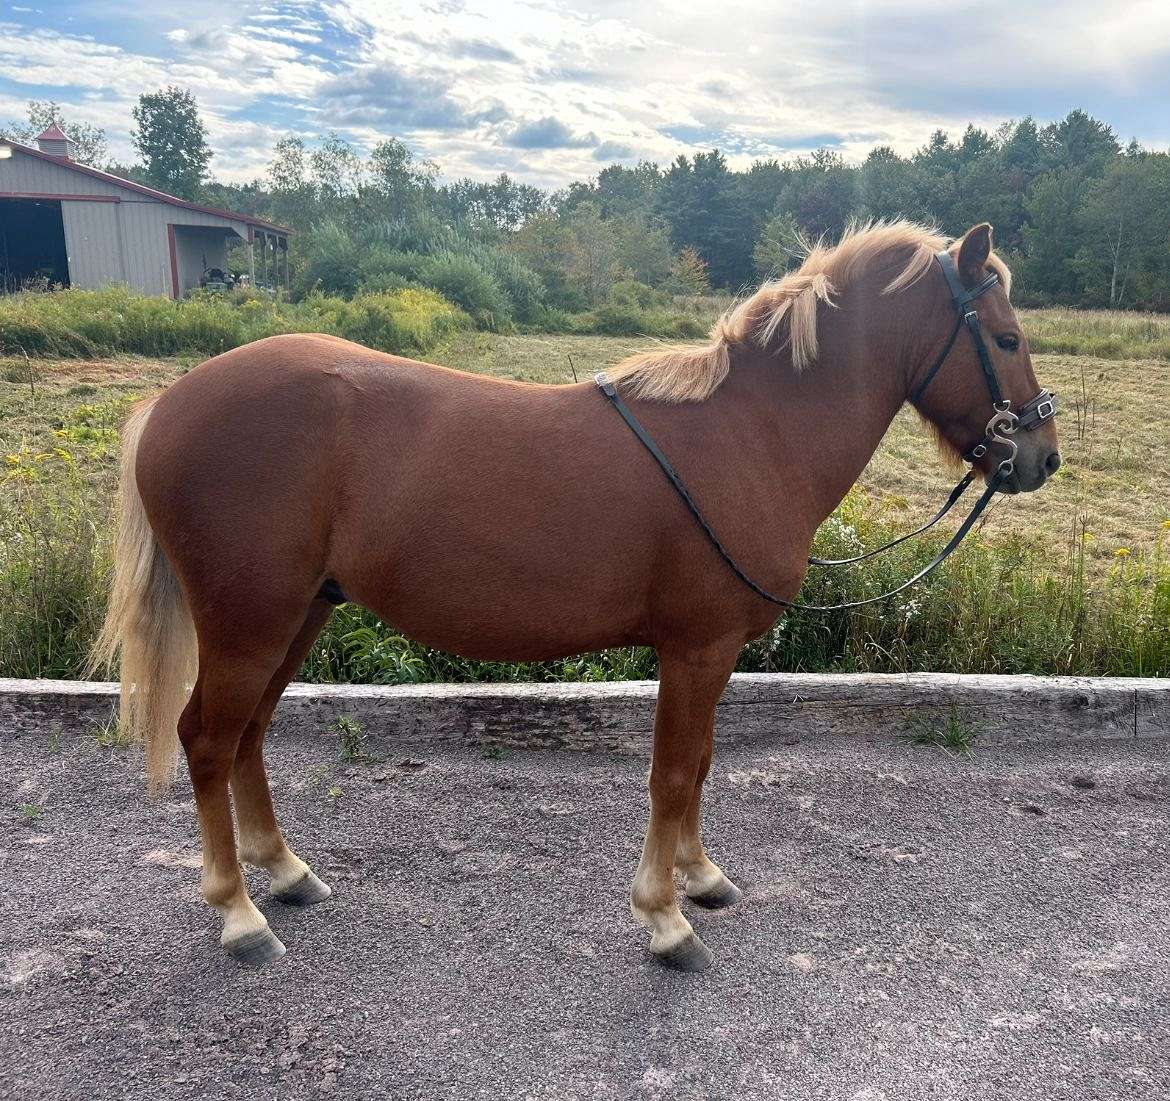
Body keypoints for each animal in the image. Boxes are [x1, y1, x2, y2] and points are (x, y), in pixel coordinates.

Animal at [91, 220, 1060, 972]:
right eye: (1007, 337)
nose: (1042, 458)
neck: (753, 433)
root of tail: (169, 403)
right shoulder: (696, 647)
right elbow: (672, 773)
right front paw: (664, 918)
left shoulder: (713, 654)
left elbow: (702, 764)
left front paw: (700, 879)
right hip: (249, 621)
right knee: (207, 740)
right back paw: (239, 913)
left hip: (299, 613)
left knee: (248, 736)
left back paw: (286, 873)